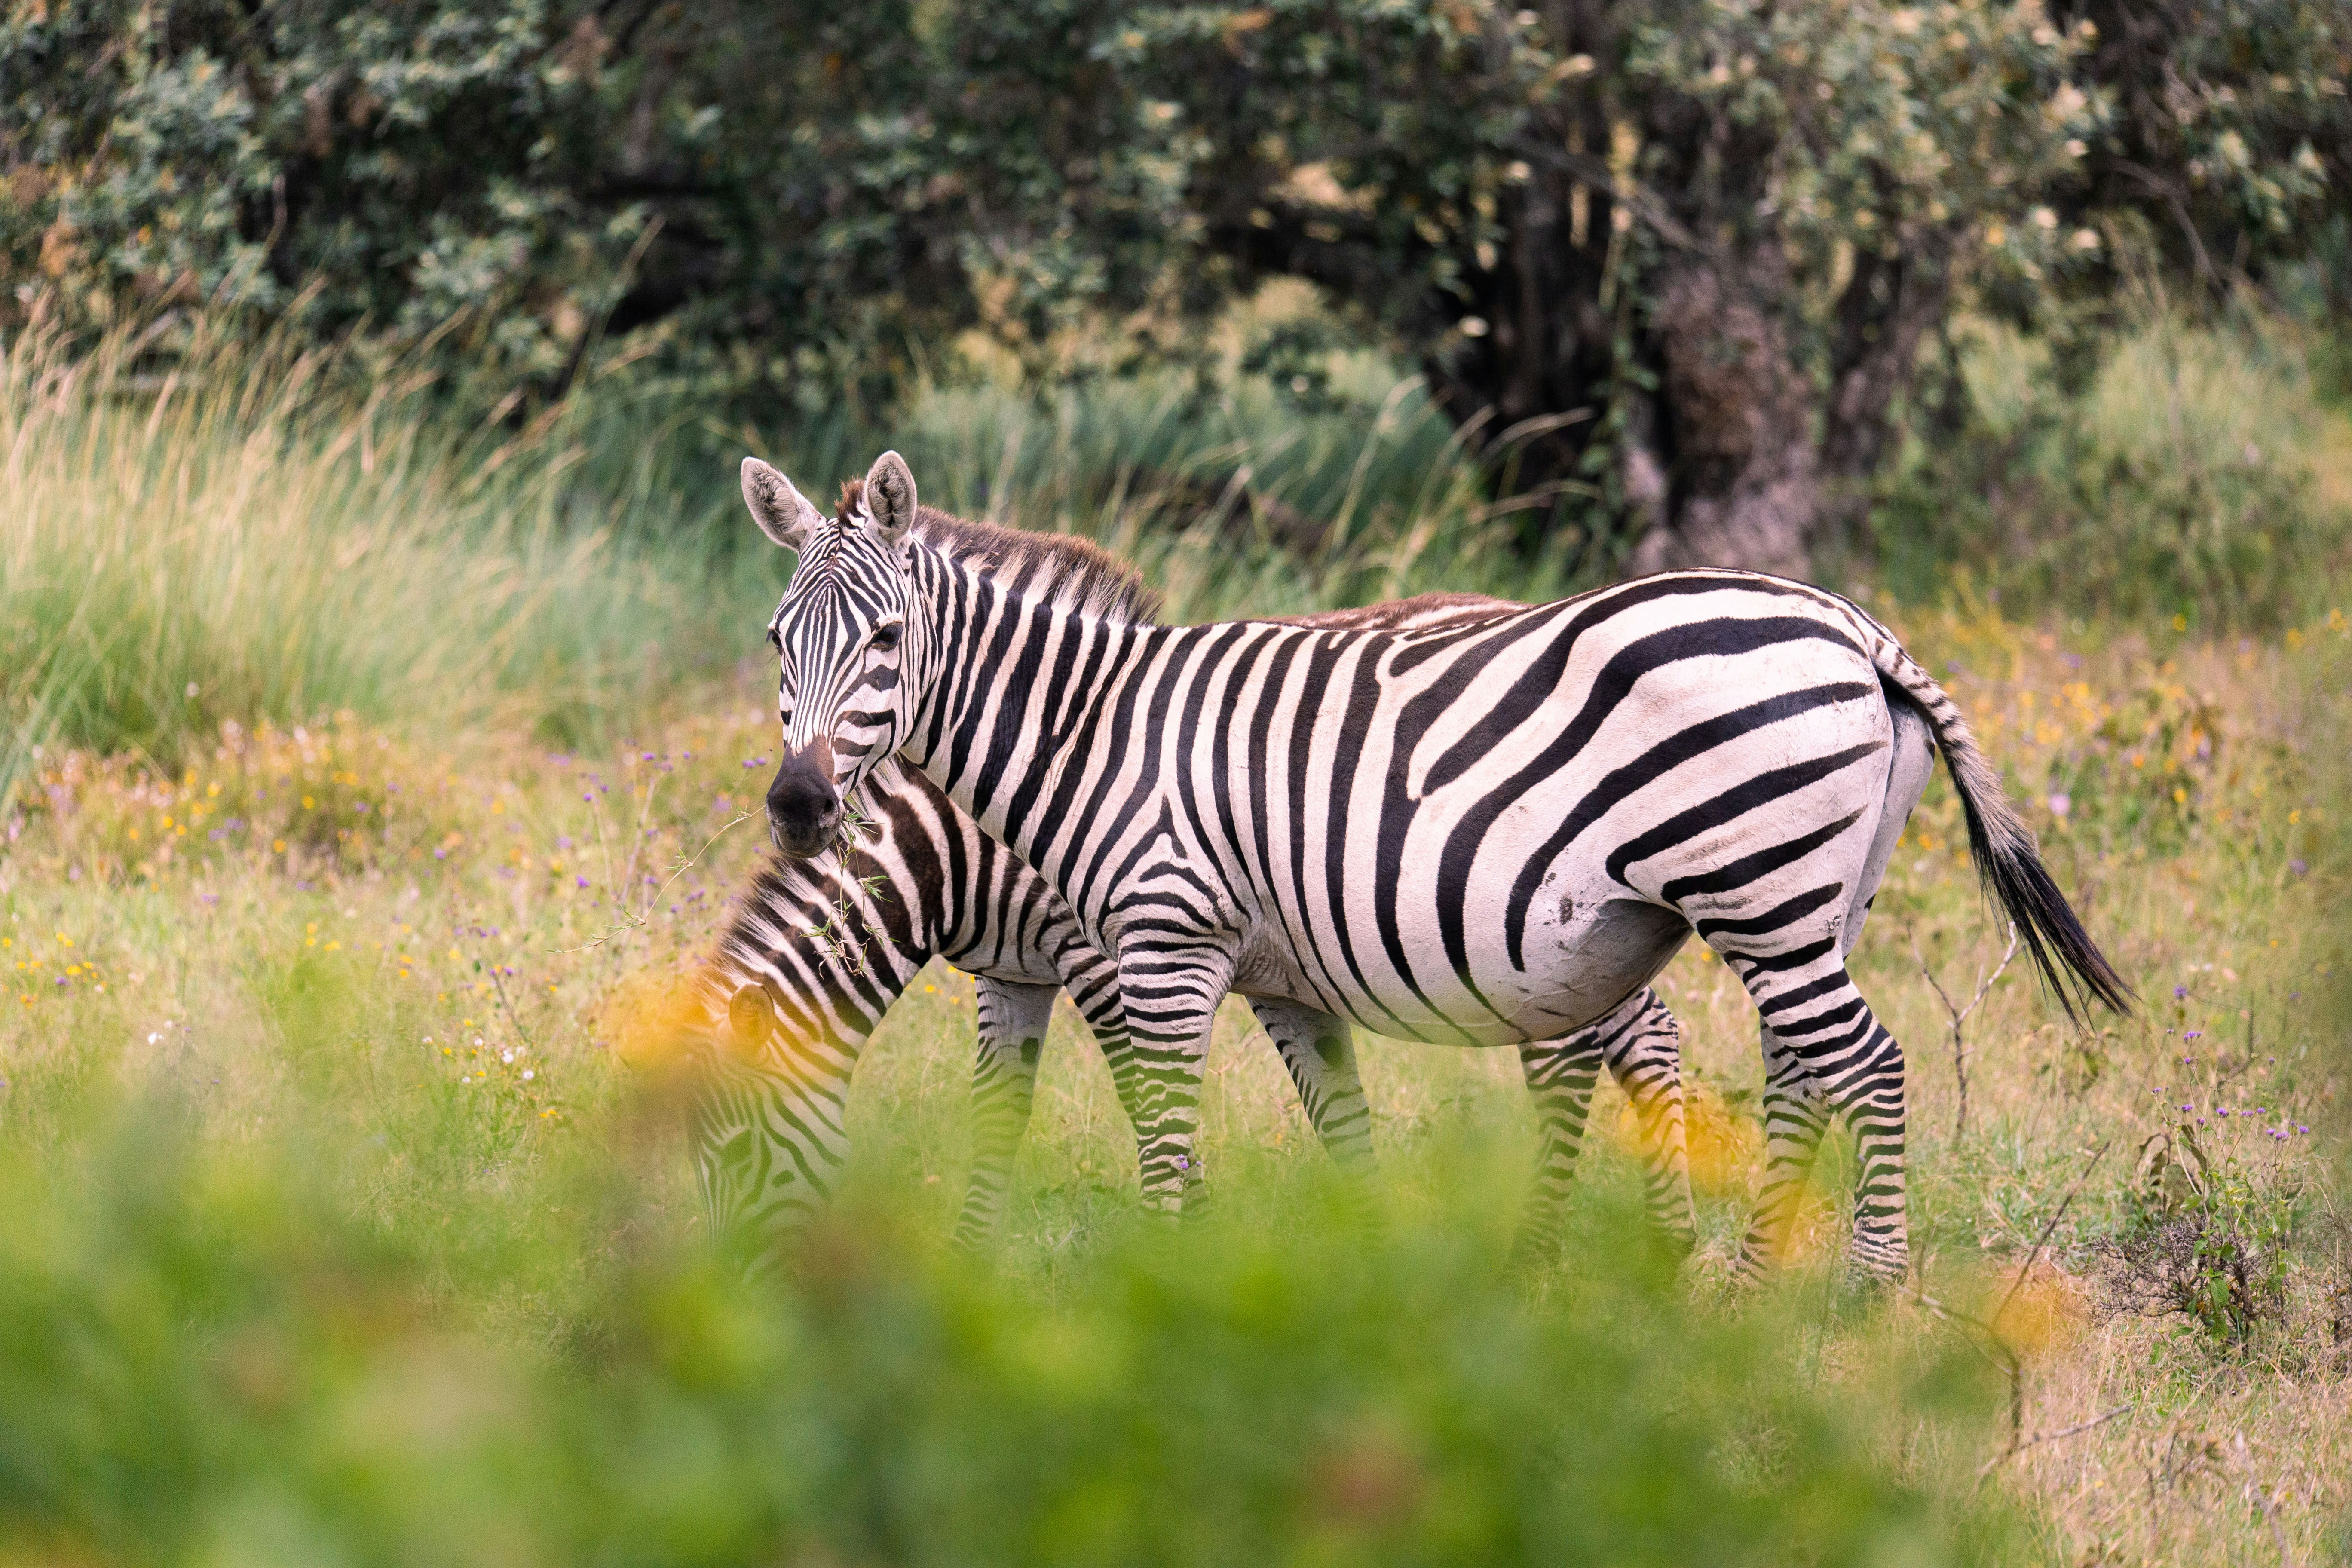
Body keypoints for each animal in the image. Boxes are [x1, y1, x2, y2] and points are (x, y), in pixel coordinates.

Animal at [691, 591, 1696, 1266]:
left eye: (737, 1154)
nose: (738, 1296)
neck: (958, 849)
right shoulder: (1011, 971)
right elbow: (998, 1116)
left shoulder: (1105, 951)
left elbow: (1145, 1098)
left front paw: (1187, 1245)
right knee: (1646, 1028)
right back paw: (1668, 1243)